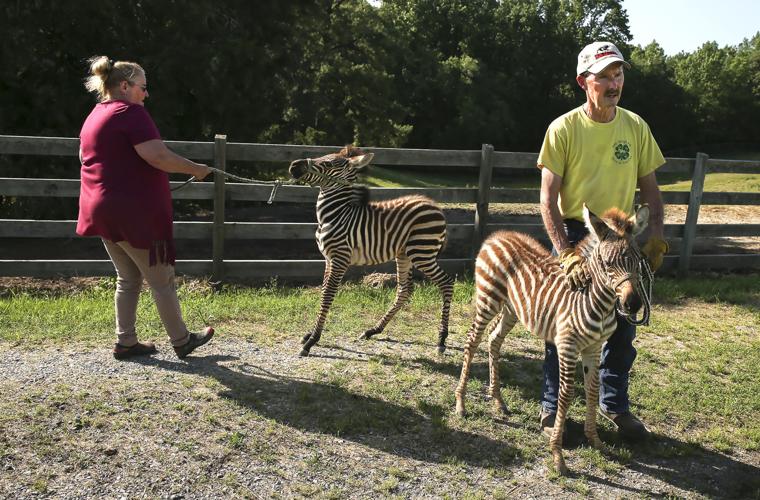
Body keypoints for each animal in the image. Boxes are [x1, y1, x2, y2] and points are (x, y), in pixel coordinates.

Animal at [288, 146, 455, 357]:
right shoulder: (328, 259)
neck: (335, 215)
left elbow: (328, 295)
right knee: (405, 290)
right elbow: (324, 291)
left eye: (327, 163)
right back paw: (373, 330)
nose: (294, 165)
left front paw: (312, 341)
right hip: (404, 254)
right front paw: (310, 334)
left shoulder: (340, 258)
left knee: (446, 282)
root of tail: (436, 207)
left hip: (422, 253)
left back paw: (441, 339)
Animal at [454, 204, 650, 475]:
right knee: (472, 342)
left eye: (638, 260)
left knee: (494, 340)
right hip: (488, 299)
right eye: (608, 263)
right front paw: (558, 455)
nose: (633, 304)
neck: (596, 302)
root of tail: (497, 235)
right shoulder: (567, 347)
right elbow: (566, 395)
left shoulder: (593, 348)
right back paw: (461, 403)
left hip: (512, 309)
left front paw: (595, 441)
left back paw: (498, 401)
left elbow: (592, 390)